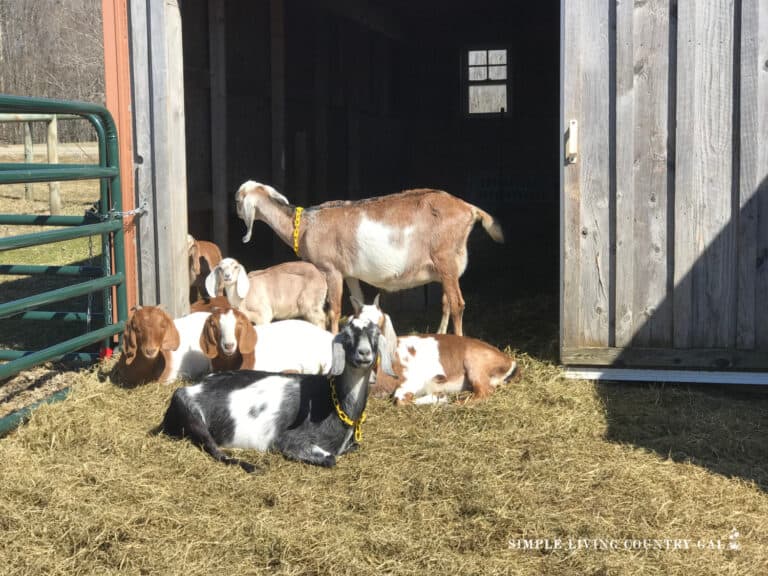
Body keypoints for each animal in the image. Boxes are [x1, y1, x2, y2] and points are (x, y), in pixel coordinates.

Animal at [159, 315, 395, 471]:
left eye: (375, 335)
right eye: (347, 336)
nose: (364, 353)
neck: (332, 400)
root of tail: (192, 387)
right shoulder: (288, 440)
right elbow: (330, 458)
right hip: (190, 413)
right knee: (215, 451)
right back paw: (250, 465)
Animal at [235, 180, 504, 335]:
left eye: (238, 200)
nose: (235, 212)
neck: (305, 225)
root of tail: (469, 209)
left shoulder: (331, 270)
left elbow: (334, 310)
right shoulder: (349, 273)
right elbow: (358, 303)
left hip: (445, 259)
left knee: (458, 303)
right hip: (446, 267)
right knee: (447, 302)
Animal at [351, 297, 518, 405]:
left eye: (380, 322)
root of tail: (510, 360)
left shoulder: (412, 381)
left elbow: (400, 400)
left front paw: (439, 397)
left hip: (475, 364)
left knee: (484, 391)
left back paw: (456, 402)